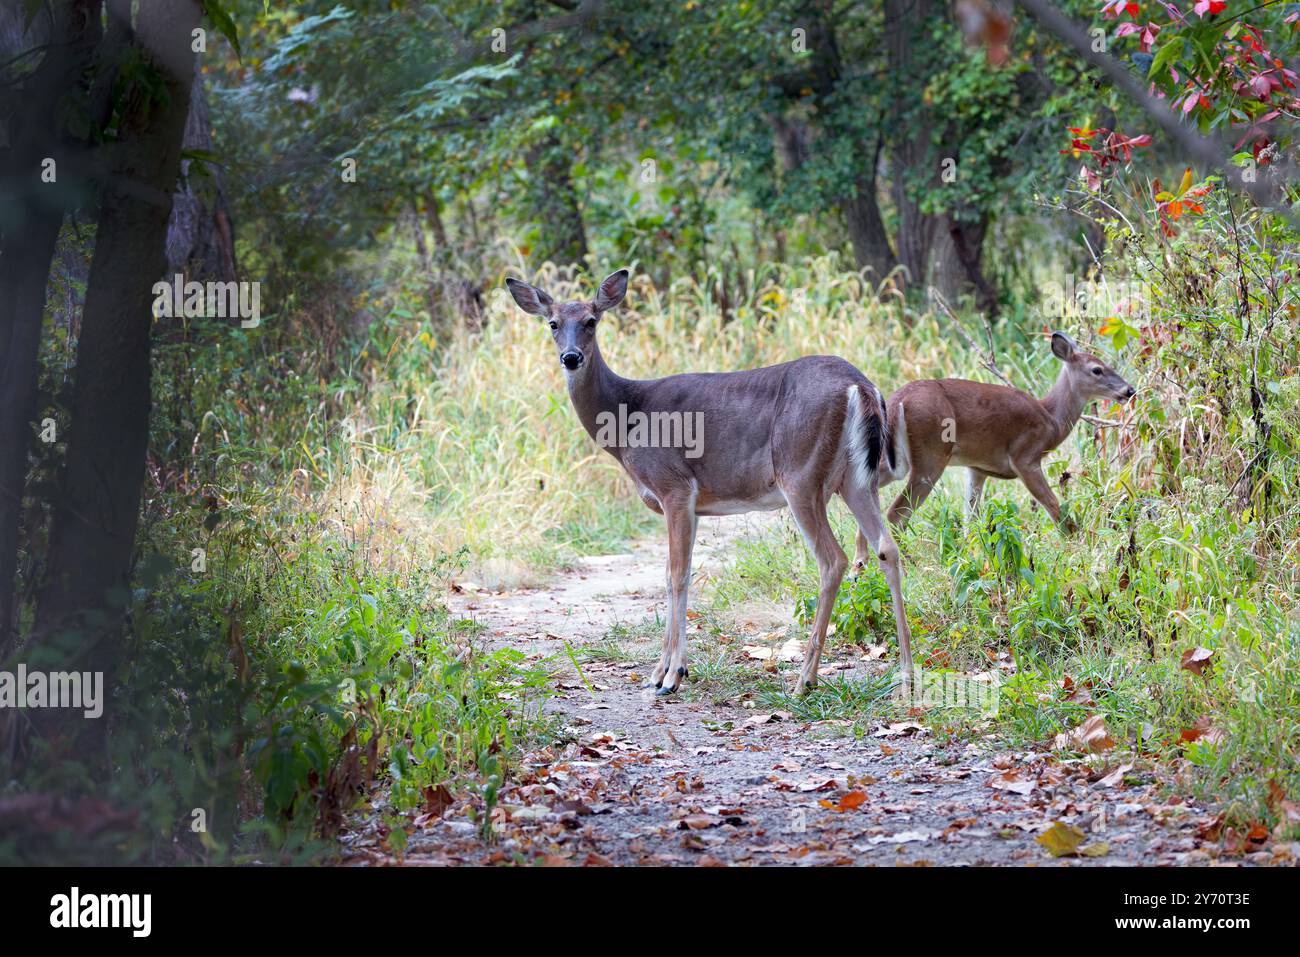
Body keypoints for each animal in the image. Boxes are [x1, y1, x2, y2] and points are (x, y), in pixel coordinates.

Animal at [505, 269, 914, 695]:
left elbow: (676, 576)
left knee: (832, 560)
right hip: (856, 479)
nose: (571, 357)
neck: (627, 417)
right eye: (553, 323)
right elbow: (675, 575)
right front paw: (661, 671)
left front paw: (672, 675)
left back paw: (805, 678)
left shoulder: (674, 486)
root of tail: (860, 386)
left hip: (800, 472)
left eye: (591, 321)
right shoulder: (695, 504)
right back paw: (905, 677)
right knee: (887, 547)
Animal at [869, 331, 1136, 542]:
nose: (1129, 390)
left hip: (894, 460)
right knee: (896, 512)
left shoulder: (977, 468)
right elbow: (1055, 508)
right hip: (931, 454)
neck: (1051, 419)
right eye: (1097, 369)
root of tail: (897, 401)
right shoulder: (1025, 456)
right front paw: (1075, 544)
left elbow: (971, 520)